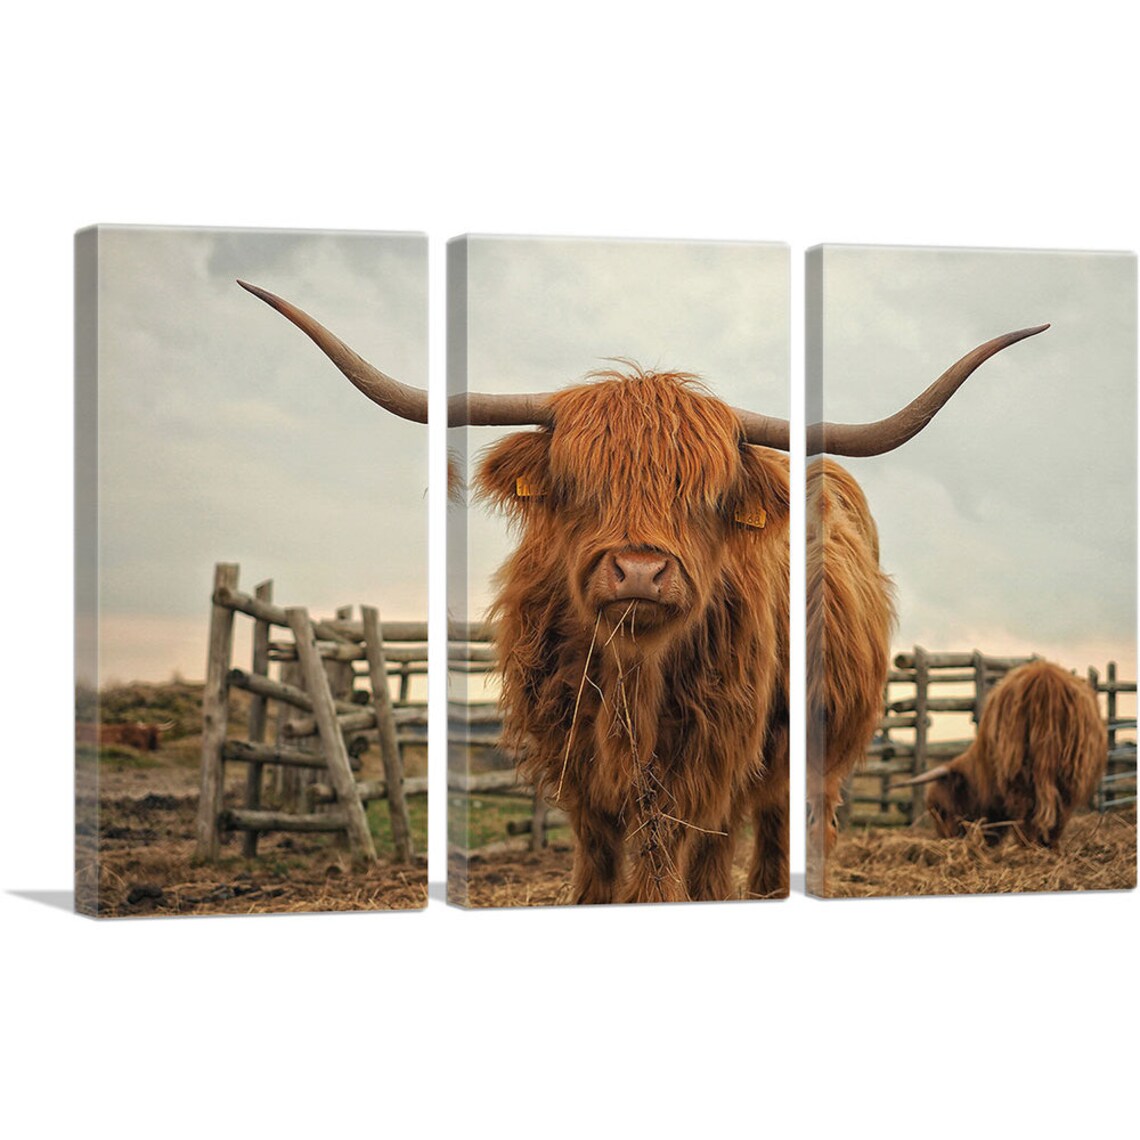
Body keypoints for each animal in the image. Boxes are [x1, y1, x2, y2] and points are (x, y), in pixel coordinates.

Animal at [238, 277, 1046, 903]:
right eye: (580, 483)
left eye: (706, 495)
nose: (638, 571)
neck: (633, 674)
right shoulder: (578, 769)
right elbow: (600, 863)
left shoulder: (705, 764)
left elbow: (671, 864)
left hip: (812, 752)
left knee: (786, 832)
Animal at [897, 659, 1107, 846]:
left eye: (941, 809)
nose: (946, 839)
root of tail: (1045, 678)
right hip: (1070, 771)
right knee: (1059, 810)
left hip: (1018, 769)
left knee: (1027, 809)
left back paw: (1027, 846)